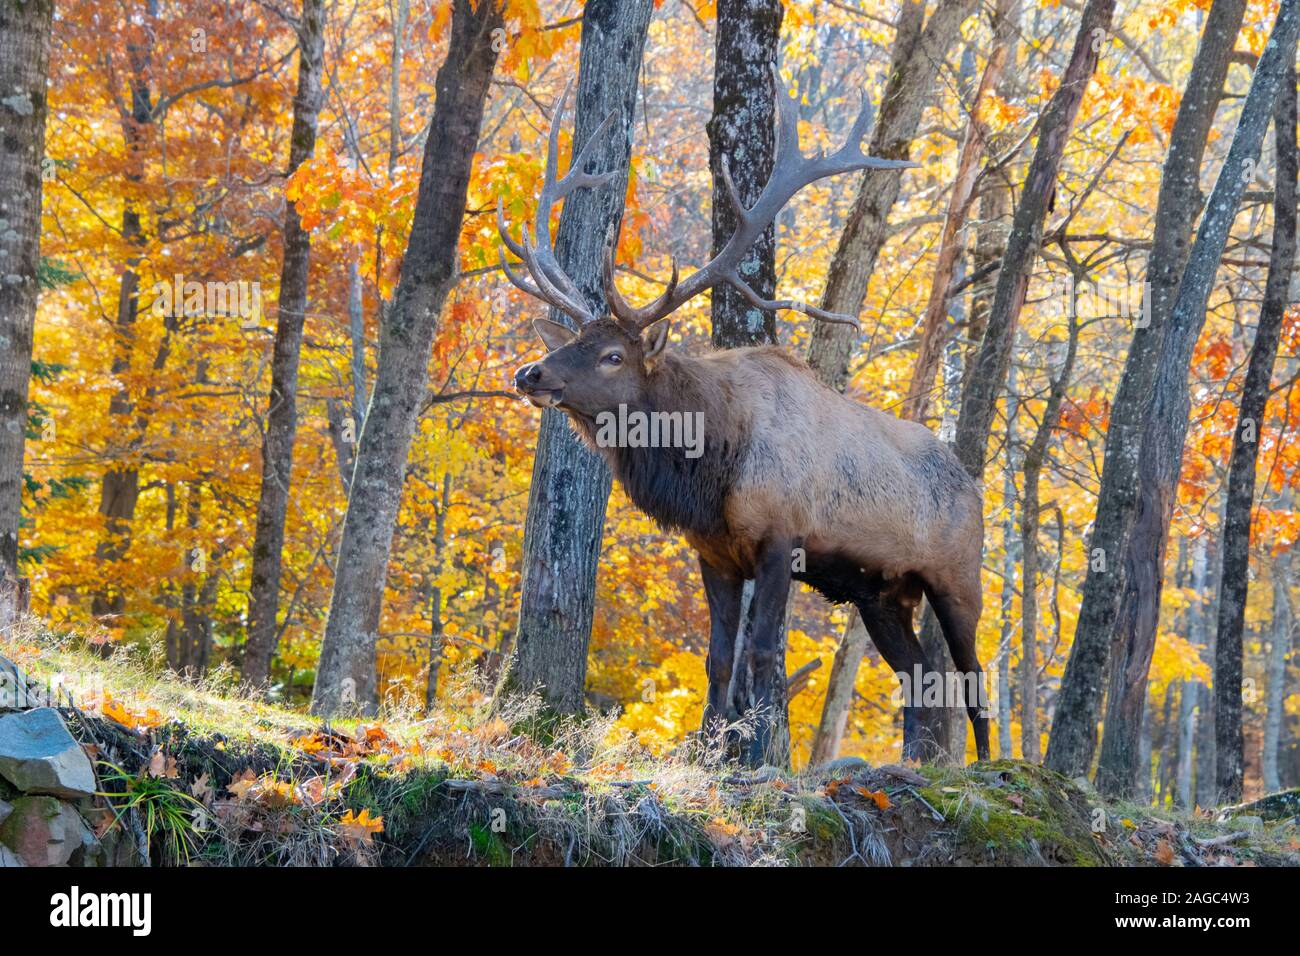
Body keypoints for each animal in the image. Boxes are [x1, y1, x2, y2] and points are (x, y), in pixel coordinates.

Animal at [499, 78, 989, 766]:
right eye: (572, 340)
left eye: (613, 354)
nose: (530, 373)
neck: (709, 465)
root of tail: (975, 485)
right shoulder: (715, 553)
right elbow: (716, 659)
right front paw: (706, 751)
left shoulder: (782, 539)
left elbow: (760, 656)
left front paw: (756, 757)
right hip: (881, 594)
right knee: (921, 674)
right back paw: (915, 761)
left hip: (956, 576)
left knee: (972, 677)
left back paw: (991, 765)